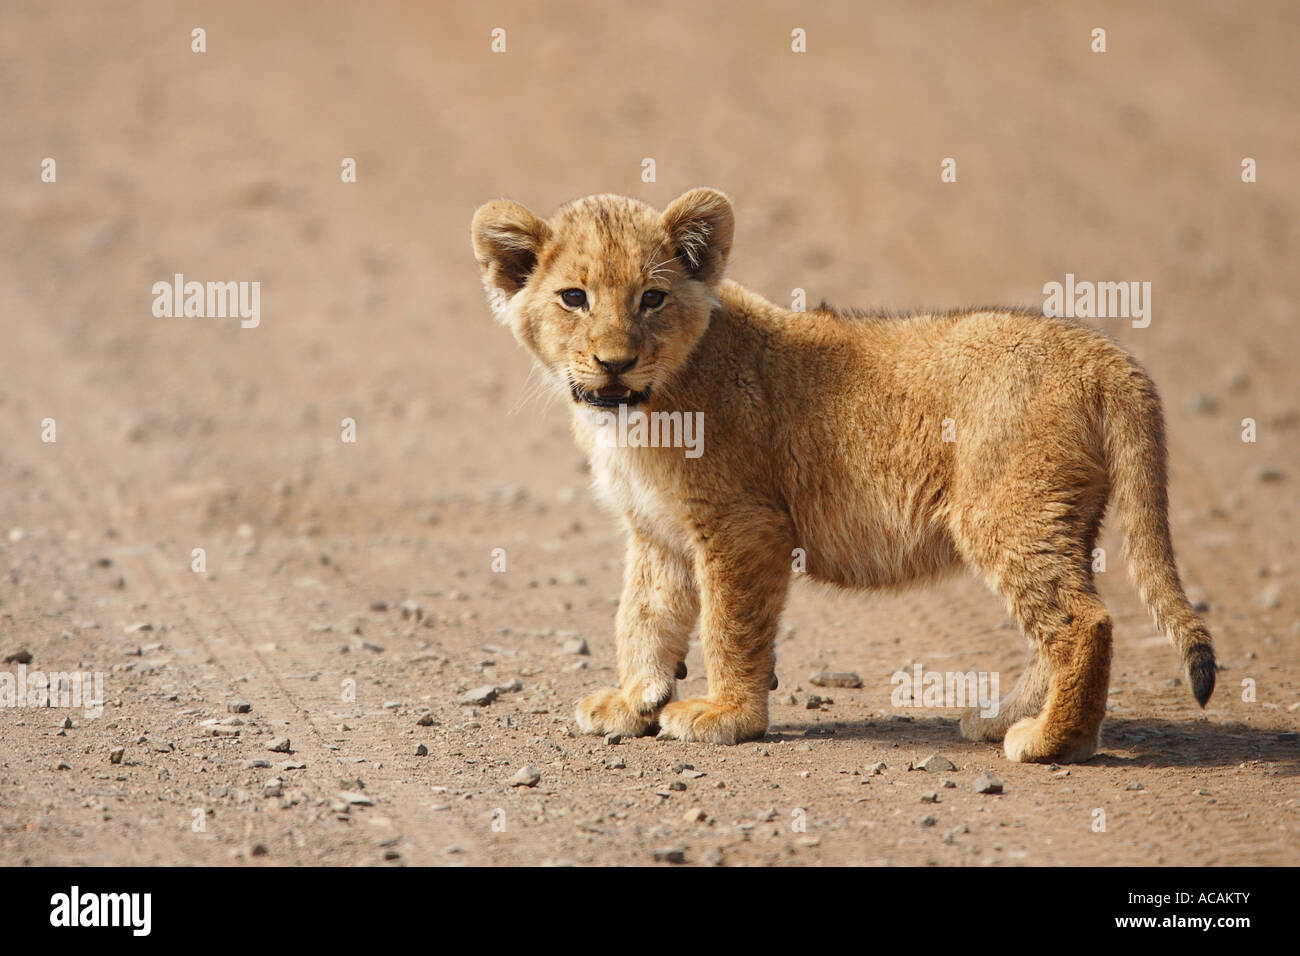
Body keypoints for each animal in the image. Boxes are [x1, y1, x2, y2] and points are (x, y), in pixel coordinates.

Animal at [470, 187, 1216, 763]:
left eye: (652, 298)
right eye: (573, 297)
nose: (615, 363)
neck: (636, 412)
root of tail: (1098, 351)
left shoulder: (745, 526)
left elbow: (729, 625)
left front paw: (726, 715)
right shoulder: (657, 531)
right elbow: (643, 615)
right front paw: (633, 700)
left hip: (1009, 513)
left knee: (1084, 623)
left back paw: (1050, 743)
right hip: (1056, 516)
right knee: (1060, 626)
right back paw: (1006, 718)